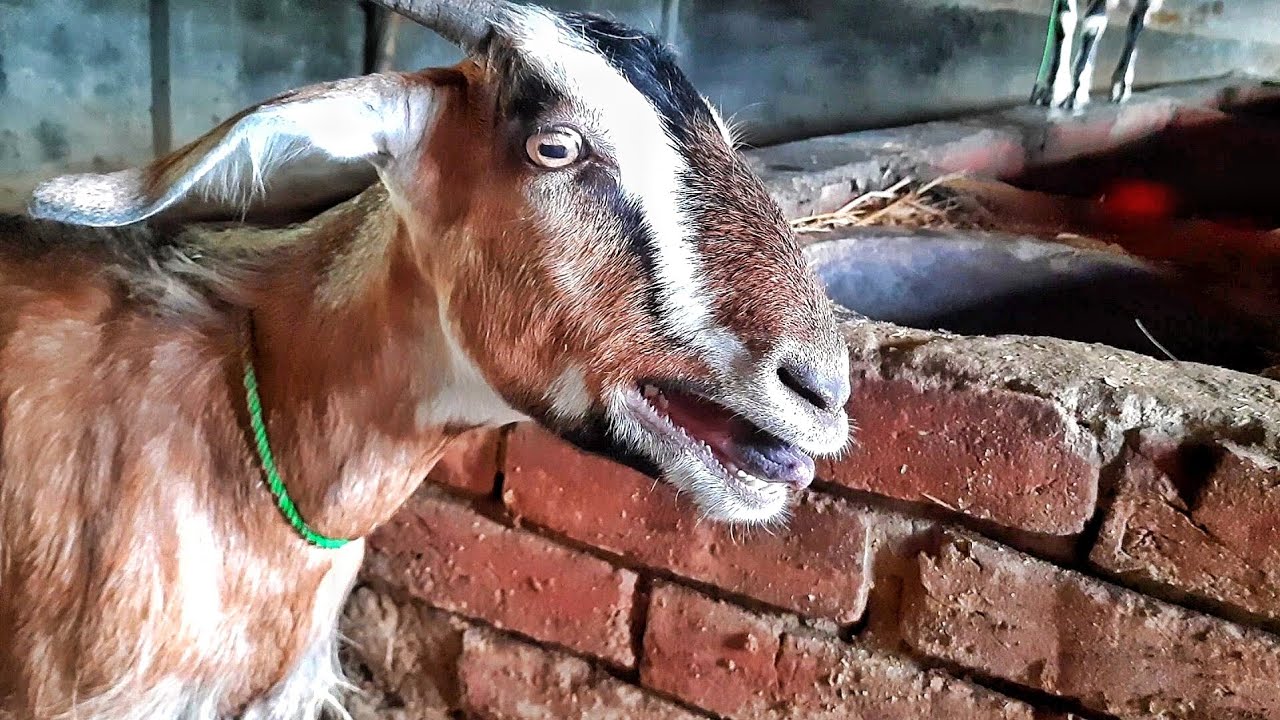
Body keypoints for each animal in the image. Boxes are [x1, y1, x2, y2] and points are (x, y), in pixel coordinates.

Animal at [1030, 0, 1165, 109]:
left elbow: (1093, 24)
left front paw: (1071, 97)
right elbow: (1064, 19)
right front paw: (1053, 92)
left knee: (1135, 24)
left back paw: (1119, 88)